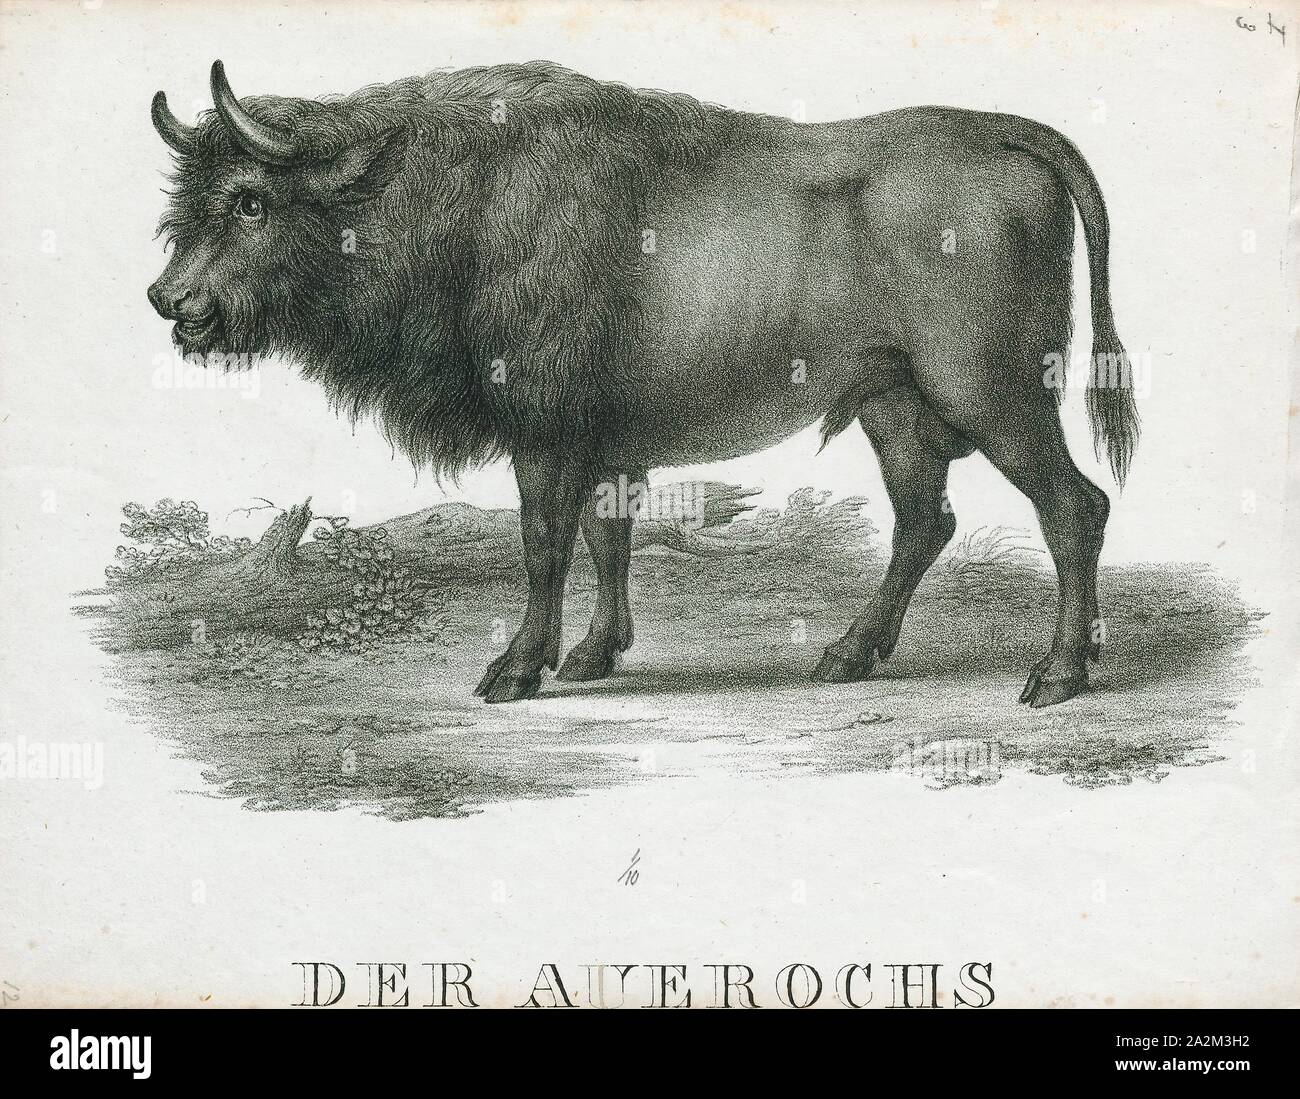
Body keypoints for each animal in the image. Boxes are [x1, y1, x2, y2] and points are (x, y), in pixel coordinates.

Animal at [149, 60, 1138, 706]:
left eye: (250, 199)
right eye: (185, 204)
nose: (170, 298)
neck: (452, 190)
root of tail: (1008, 134)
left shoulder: (545, 433)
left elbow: (545, 542)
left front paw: (515, 670)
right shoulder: (605, 444)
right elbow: (607, 535)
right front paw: (594, 655)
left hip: (991, 396)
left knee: (1071, 506)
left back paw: (1055, 676)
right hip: (894, 405)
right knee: (924, 520)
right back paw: (845, 655)